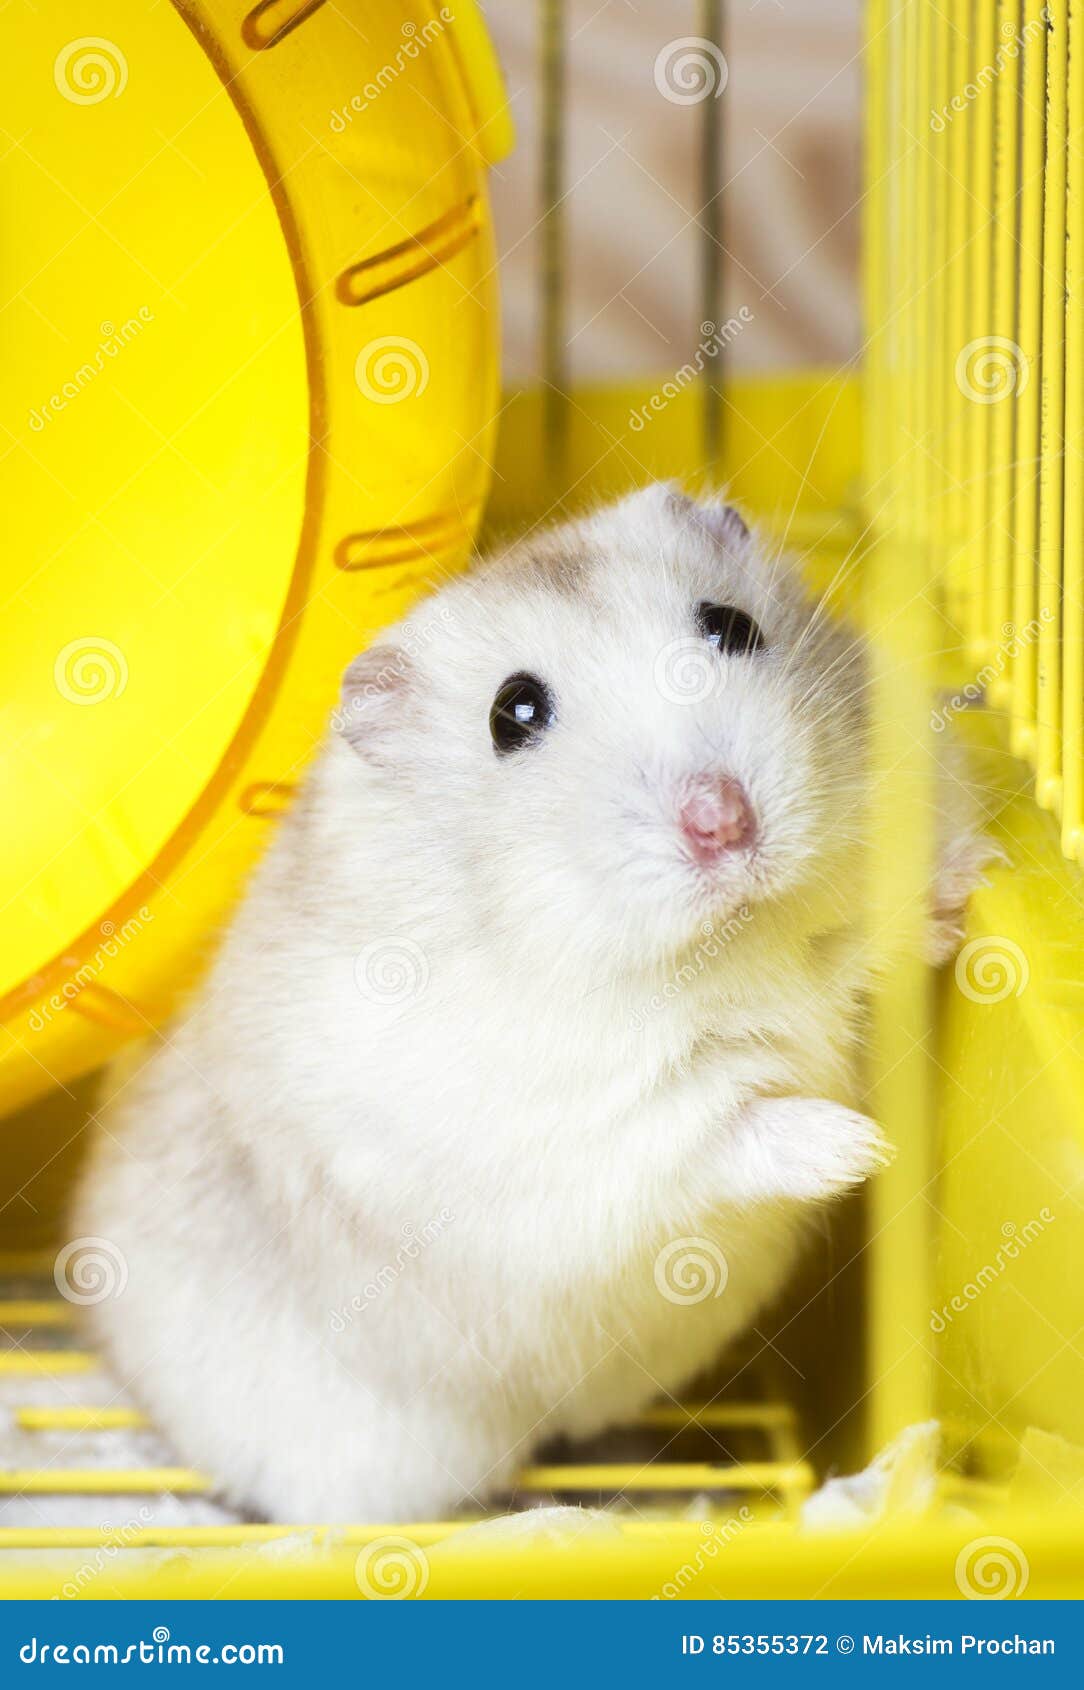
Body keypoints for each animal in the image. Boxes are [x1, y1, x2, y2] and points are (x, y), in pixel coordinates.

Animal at [73, 483, 992, 1523]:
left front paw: (954, 901)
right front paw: (857, 1150)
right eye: (512, 714)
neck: (727, 939)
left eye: (732, 626)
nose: (724, 822)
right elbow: (727, 1127)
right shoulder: (589, 1137)